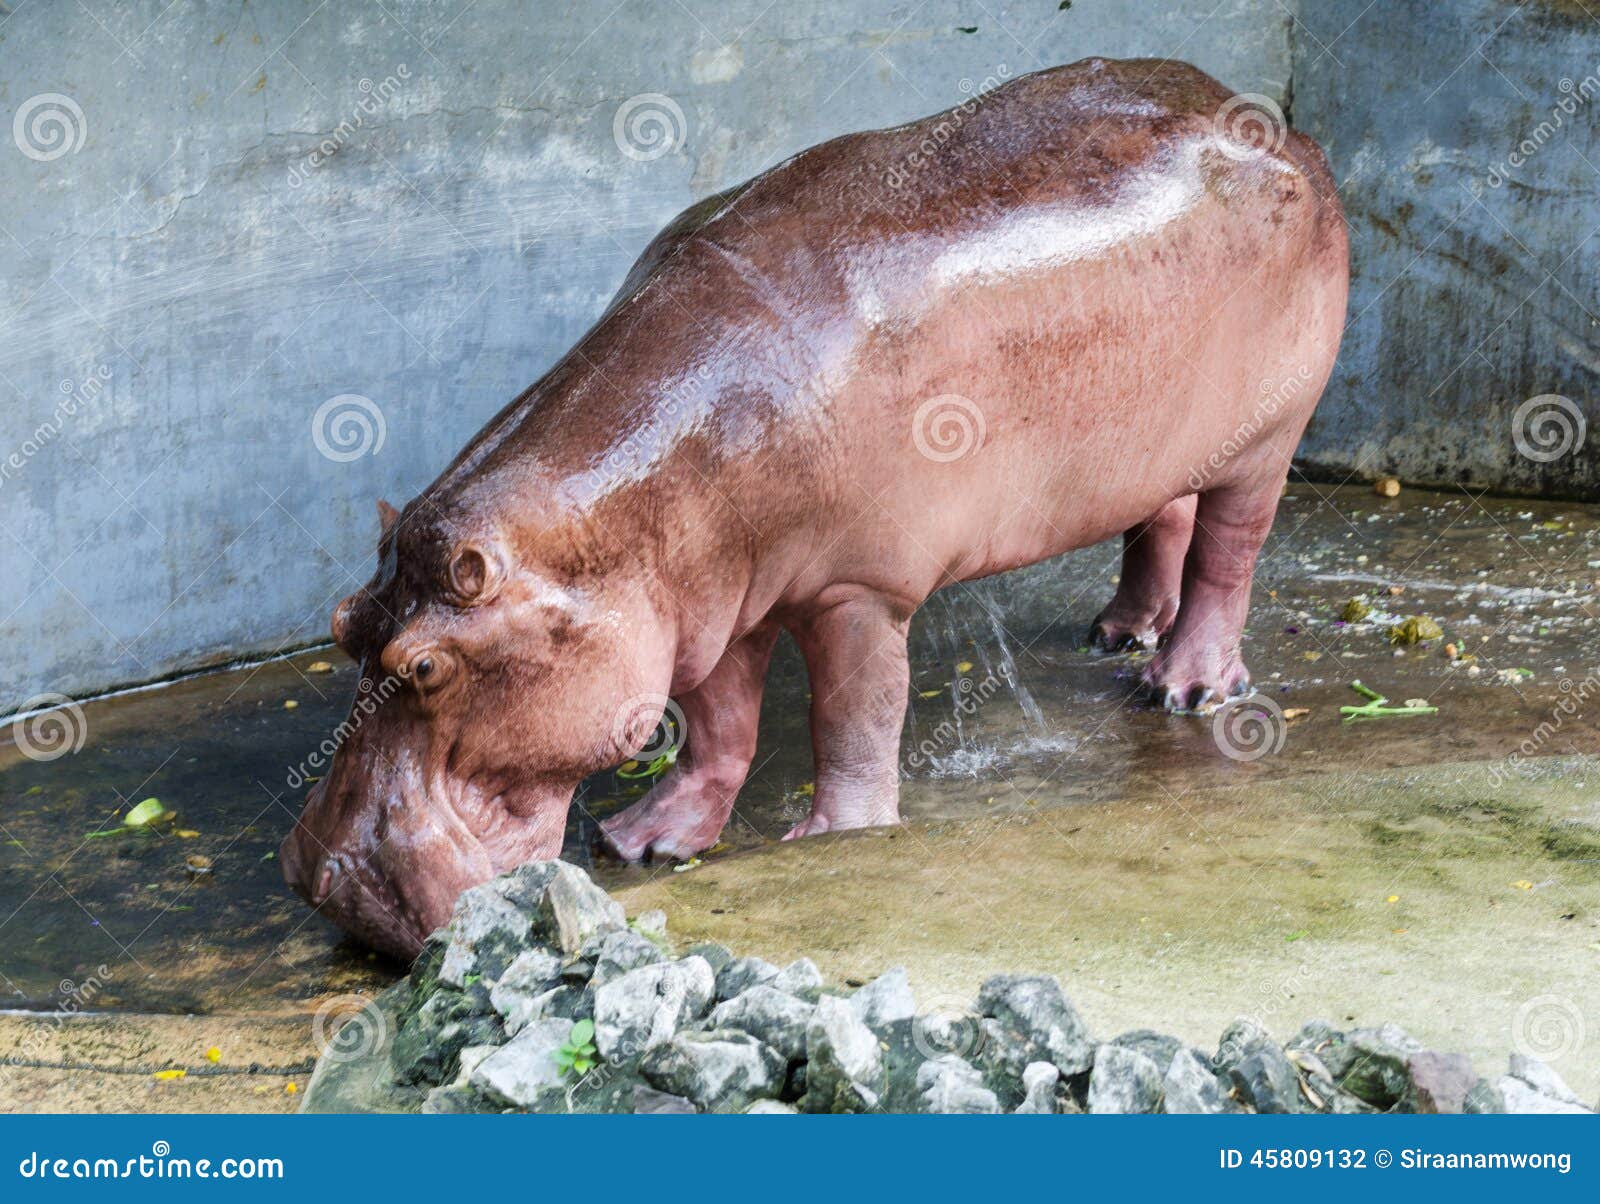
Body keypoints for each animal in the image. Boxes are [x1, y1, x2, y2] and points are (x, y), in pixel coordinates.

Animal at [281, 58, 1347, 958]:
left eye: (426, 666)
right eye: (341, 622)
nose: (323, 881)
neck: (632, 509)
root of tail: (1283, 127)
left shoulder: (855, 590)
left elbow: (855, 715)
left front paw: (838, 835)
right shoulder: (710, 600)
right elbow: (718, 725)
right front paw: (646, 841)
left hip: (1267, 436)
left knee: (1228, 554)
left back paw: (1186, 688)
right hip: (1157, 437)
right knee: (1162, 518)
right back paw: (1120, 633)